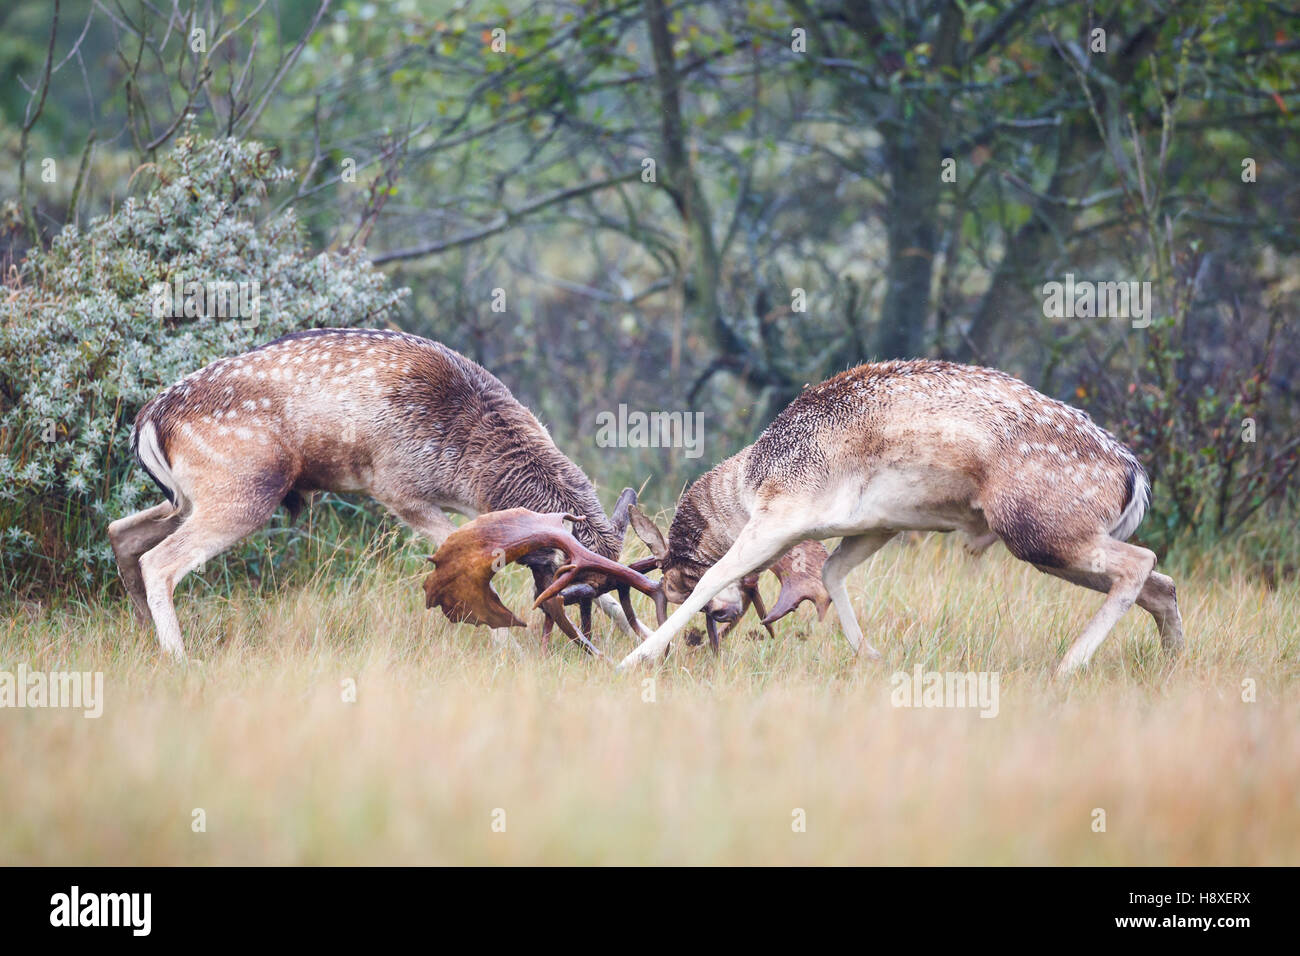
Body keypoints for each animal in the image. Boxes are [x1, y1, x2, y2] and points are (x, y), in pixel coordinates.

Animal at [108, 327, 662, 659]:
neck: (471, 466)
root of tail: (150, 418)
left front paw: (647, 639)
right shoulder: (396, 489)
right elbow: (466, 555)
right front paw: (508, 647)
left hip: (189, 496)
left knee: (122, 532)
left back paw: (143, 638)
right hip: (244, 486)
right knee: (160, 560)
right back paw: (180, 660)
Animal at [528, 359, 1185, 679]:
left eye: (669, 587)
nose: (690, 645)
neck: (750, 482)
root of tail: (1134, 473)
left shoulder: (782, 515)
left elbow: (723, 573)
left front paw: (632, 661)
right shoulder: (878, 524)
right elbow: (833, 573)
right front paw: (870, 657)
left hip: (1040, 528)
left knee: (1142, 562)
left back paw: (1069, 666)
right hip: (1056, 538)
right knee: (1161, 582)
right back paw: (1172, 663)